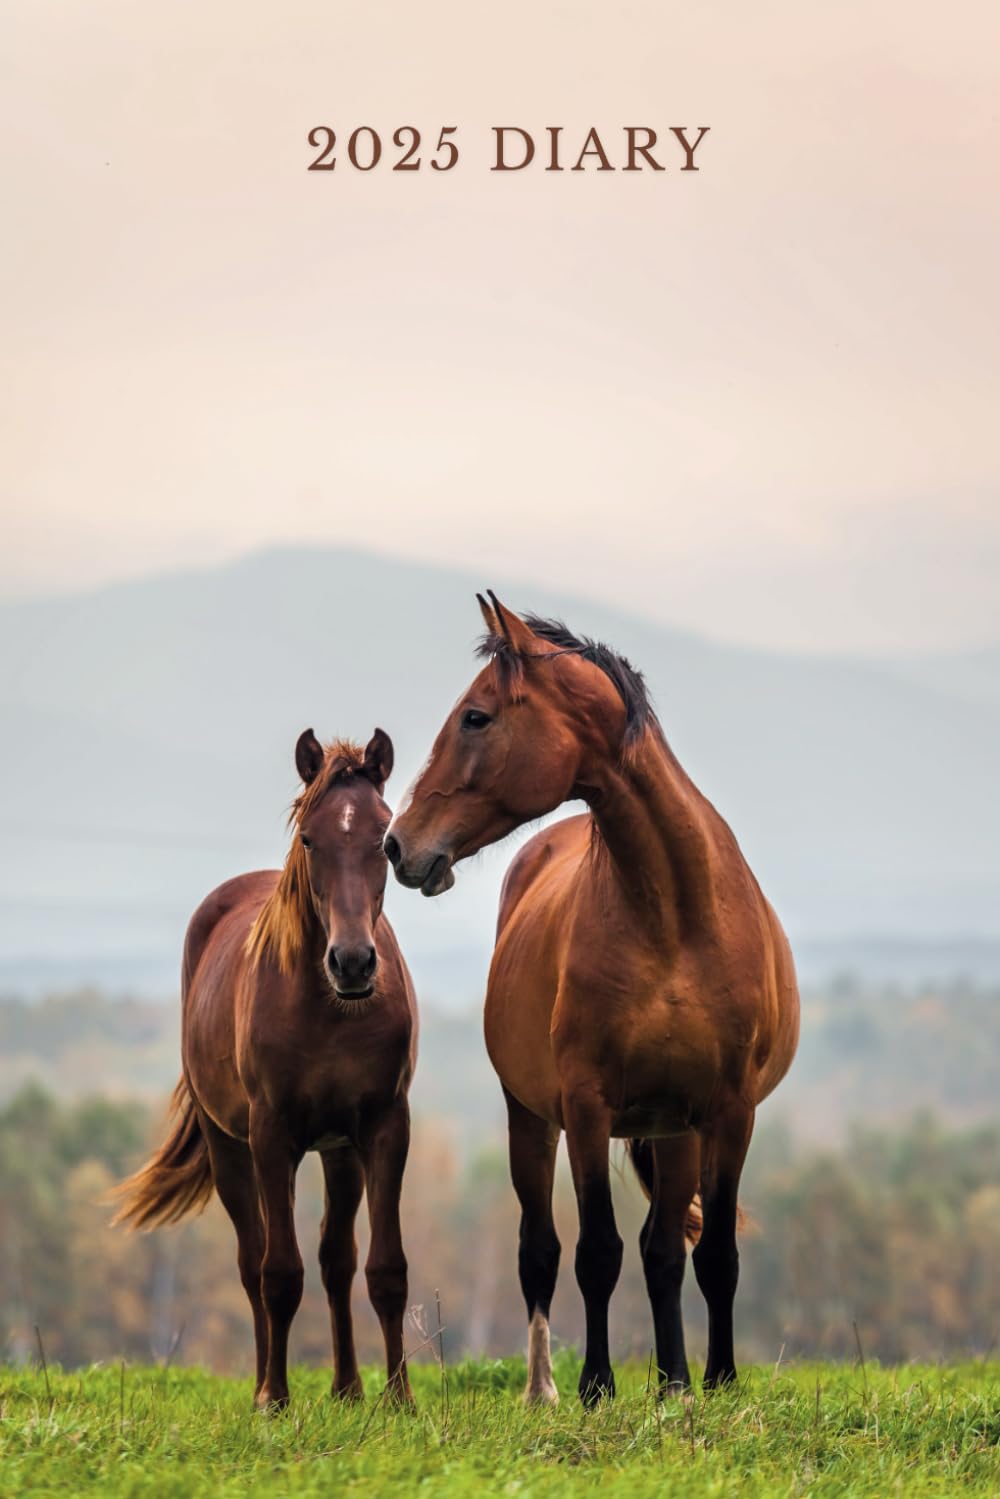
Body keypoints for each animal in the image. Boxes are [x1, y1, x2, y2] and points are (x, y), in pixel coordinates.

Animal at [114, 729, 417, 1410]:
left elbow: (384, 1268)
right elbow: (278, 1273)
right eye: (309, 838)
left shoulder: (385, 1127)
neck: (331, 1010)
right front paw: (275, 1399)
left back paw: (348, 1389)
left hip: (337, 1151)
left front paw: (400, 1401)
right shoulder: (272, 1134)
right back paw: (261, 1386)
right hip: (231, 1147)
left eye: (383, 836)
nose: (352, 963)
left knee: (336, 1260)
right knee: (252, 1261)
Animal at [384, 594, 799, 1406]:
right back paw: (543, 1388)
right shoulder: (585, 1105)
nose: (397, 844)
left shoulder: (727, 1111)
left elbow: (712, 1253)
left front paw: (715, 1380)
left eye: (476, 717)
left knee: (664, 1249)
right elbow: (595, 1251)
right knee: (541, 1249)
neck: (675, 915)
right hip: (532, 1120)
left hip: (676, 1131)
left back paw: (673, 1382)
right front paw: (596, 1386)